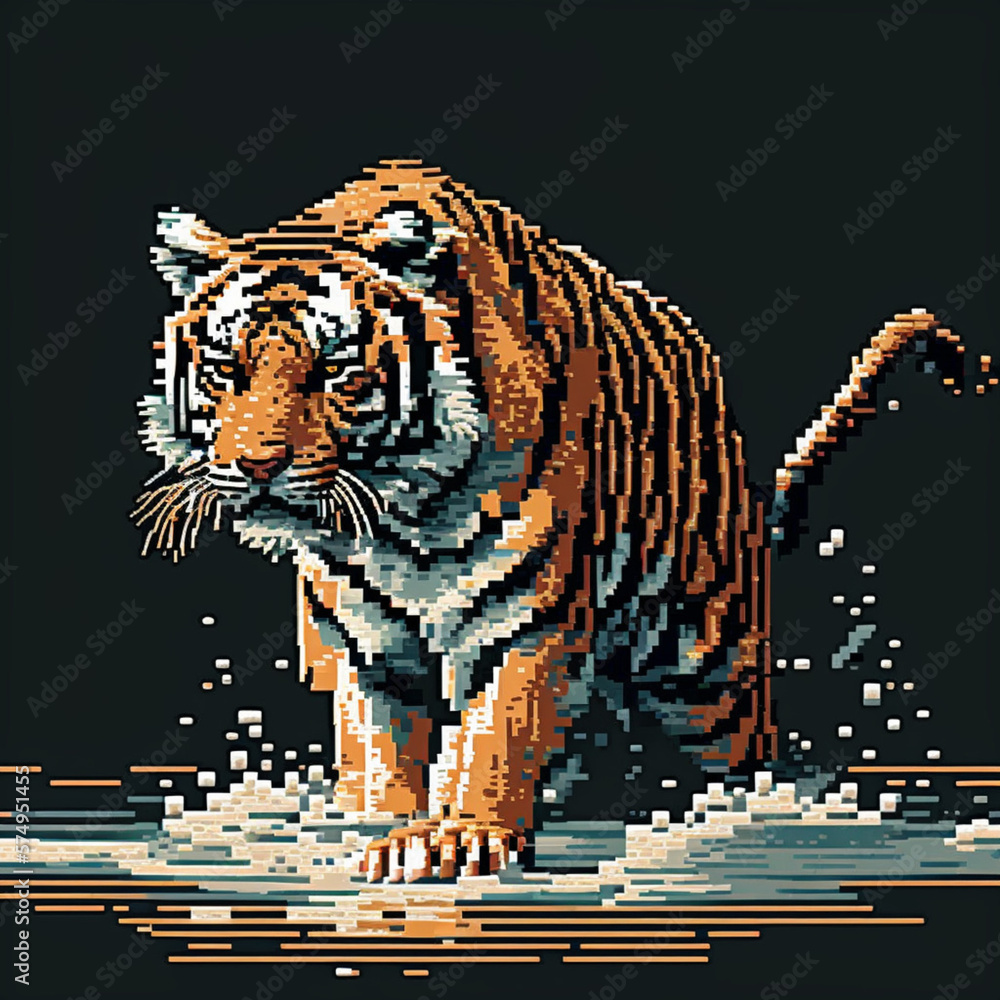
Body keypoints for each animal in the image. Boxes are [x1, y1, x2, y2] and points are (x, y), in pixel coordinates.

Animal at [134, 159, 967, 881]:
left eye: (335, 370)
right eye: (225, 369)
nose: (257, 465)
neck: (401, 516)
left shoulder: (528, 616)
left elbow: (497, 731)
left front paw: (459, 839)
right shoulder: (359, 642)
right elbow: (379, 751)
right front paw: (377, 829)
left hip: (709, 675)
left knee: (729, 754)